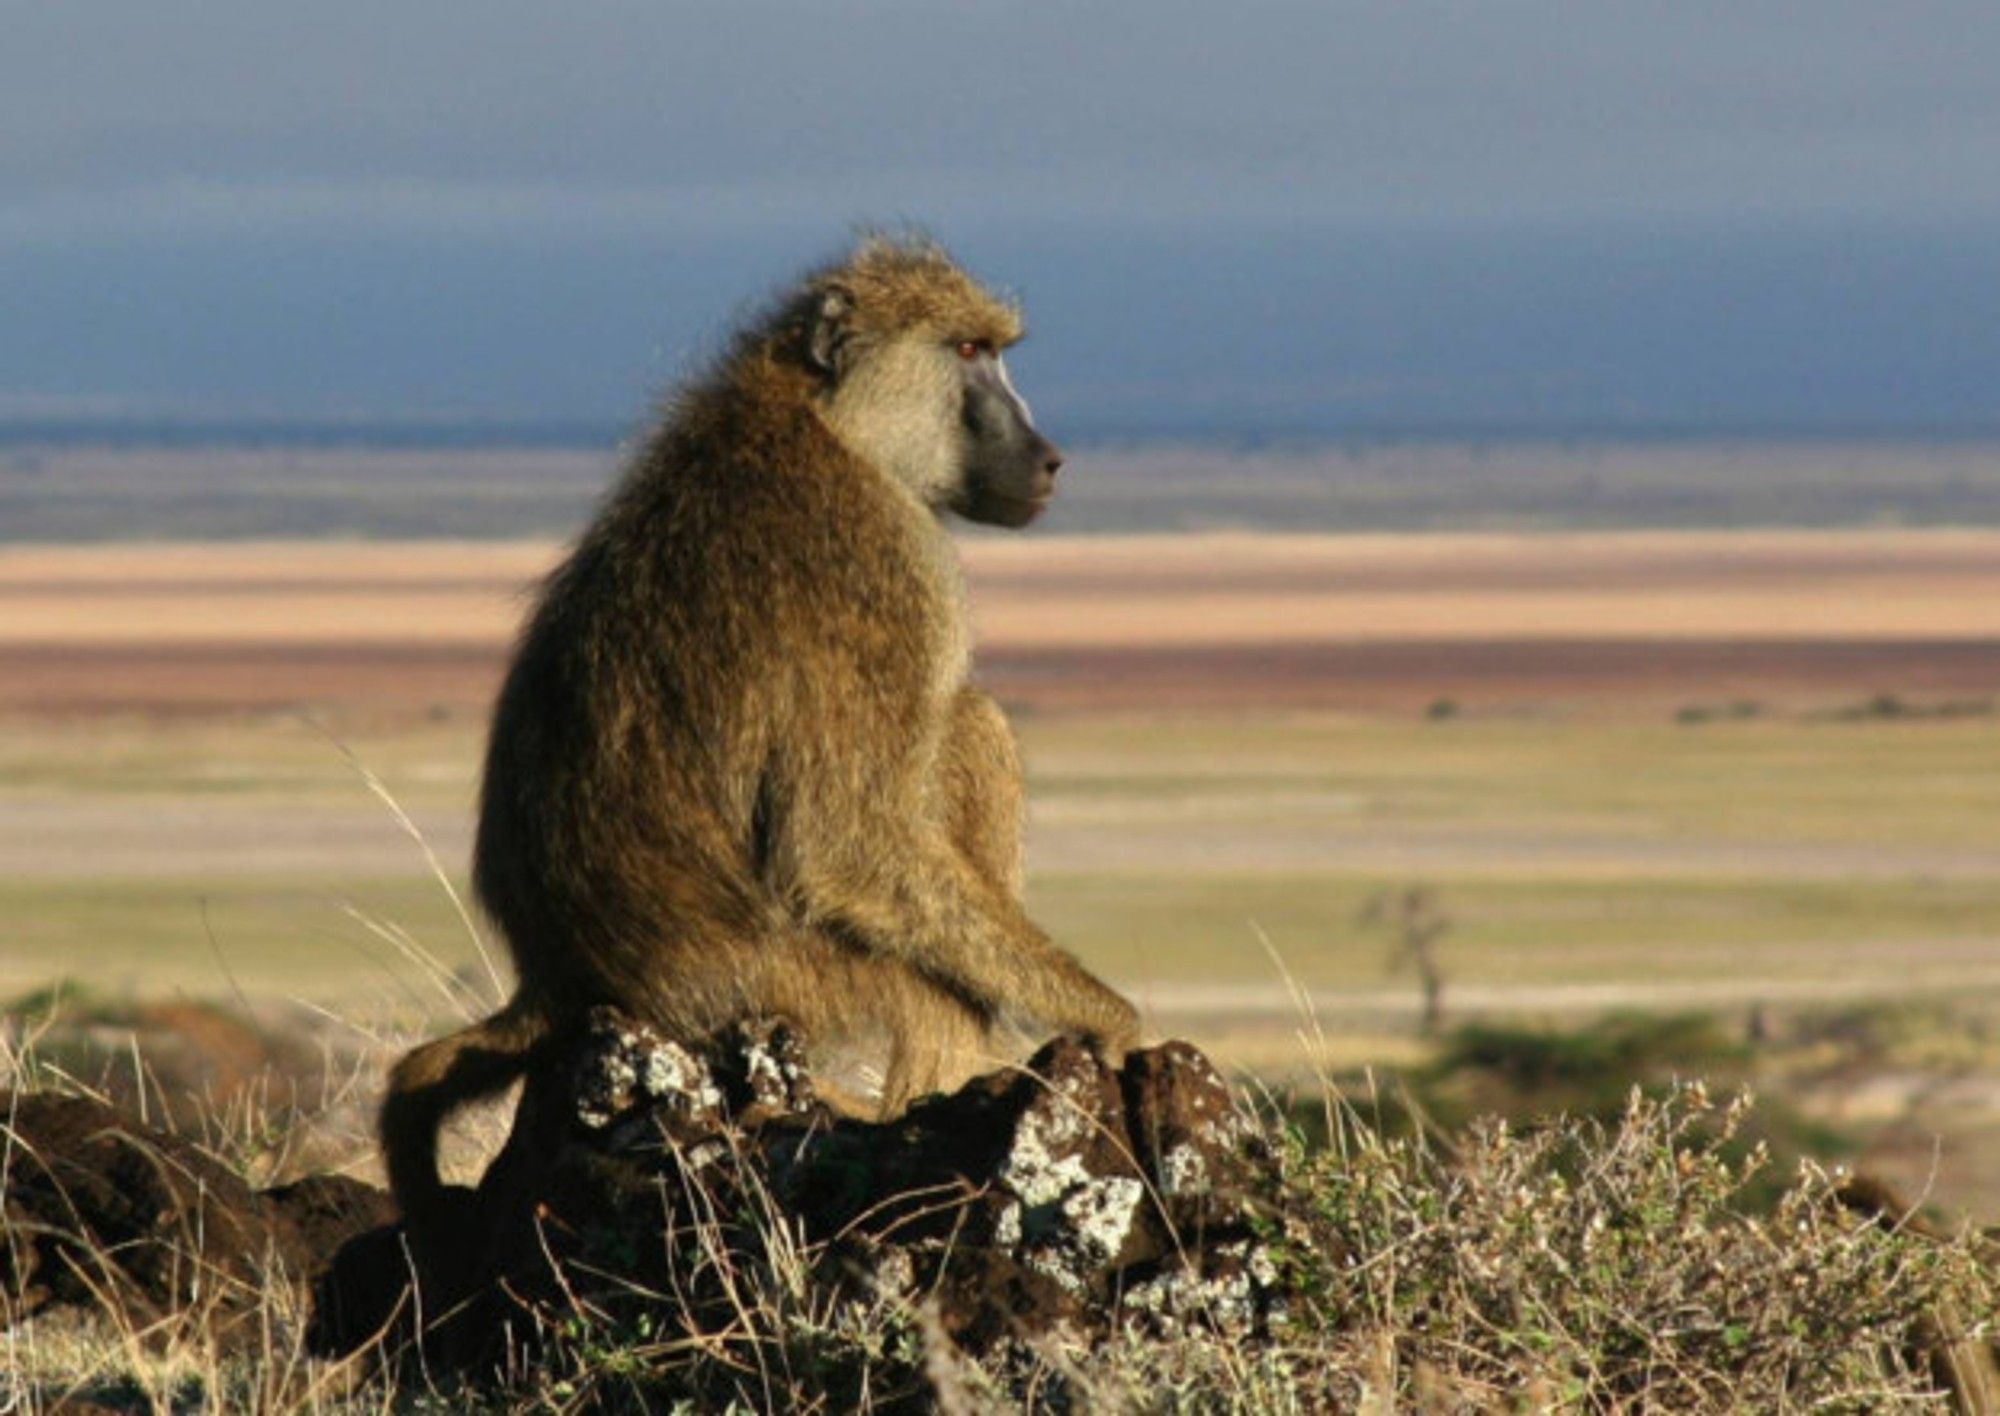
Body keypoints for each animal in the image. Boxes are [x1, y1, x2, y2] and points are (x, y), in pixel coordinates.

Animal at [381, 235, 1140, 1226]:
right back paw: (911, 1108)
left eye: (994, 350)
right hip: (800, 984)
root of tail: (568, 980)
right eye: (969, 352)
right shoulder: (892, 565)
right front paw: (1109, 1020)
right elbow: (843, 846)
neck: (825, 418)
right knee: (970, 726)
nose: (1049, 459)